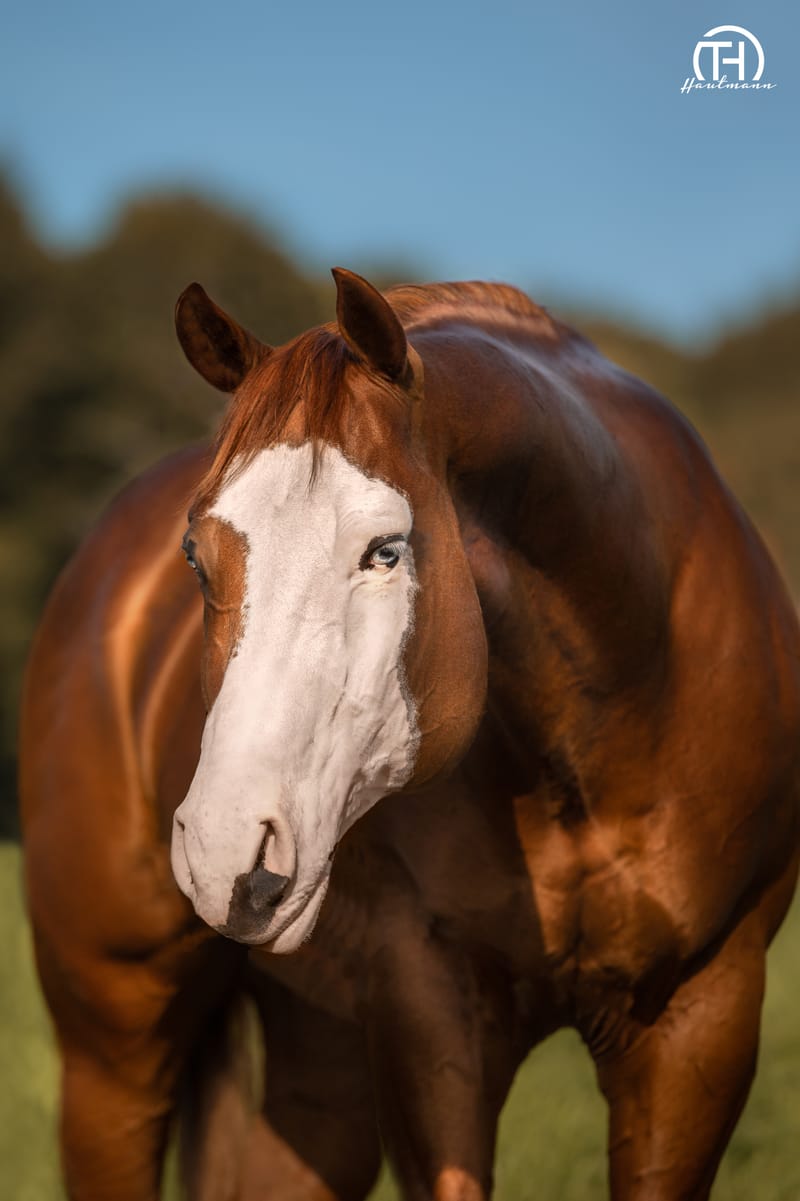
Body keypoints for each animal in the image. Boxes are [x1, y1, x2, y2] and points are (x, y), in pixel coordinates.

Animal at [20, 268, 800, 1201]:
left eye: (385, 551)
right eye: (197, 558)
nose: (222, 853)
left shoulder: (704, 1014)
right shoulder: (431, 1009)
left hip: (318, 1054)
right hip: (114, 1052)